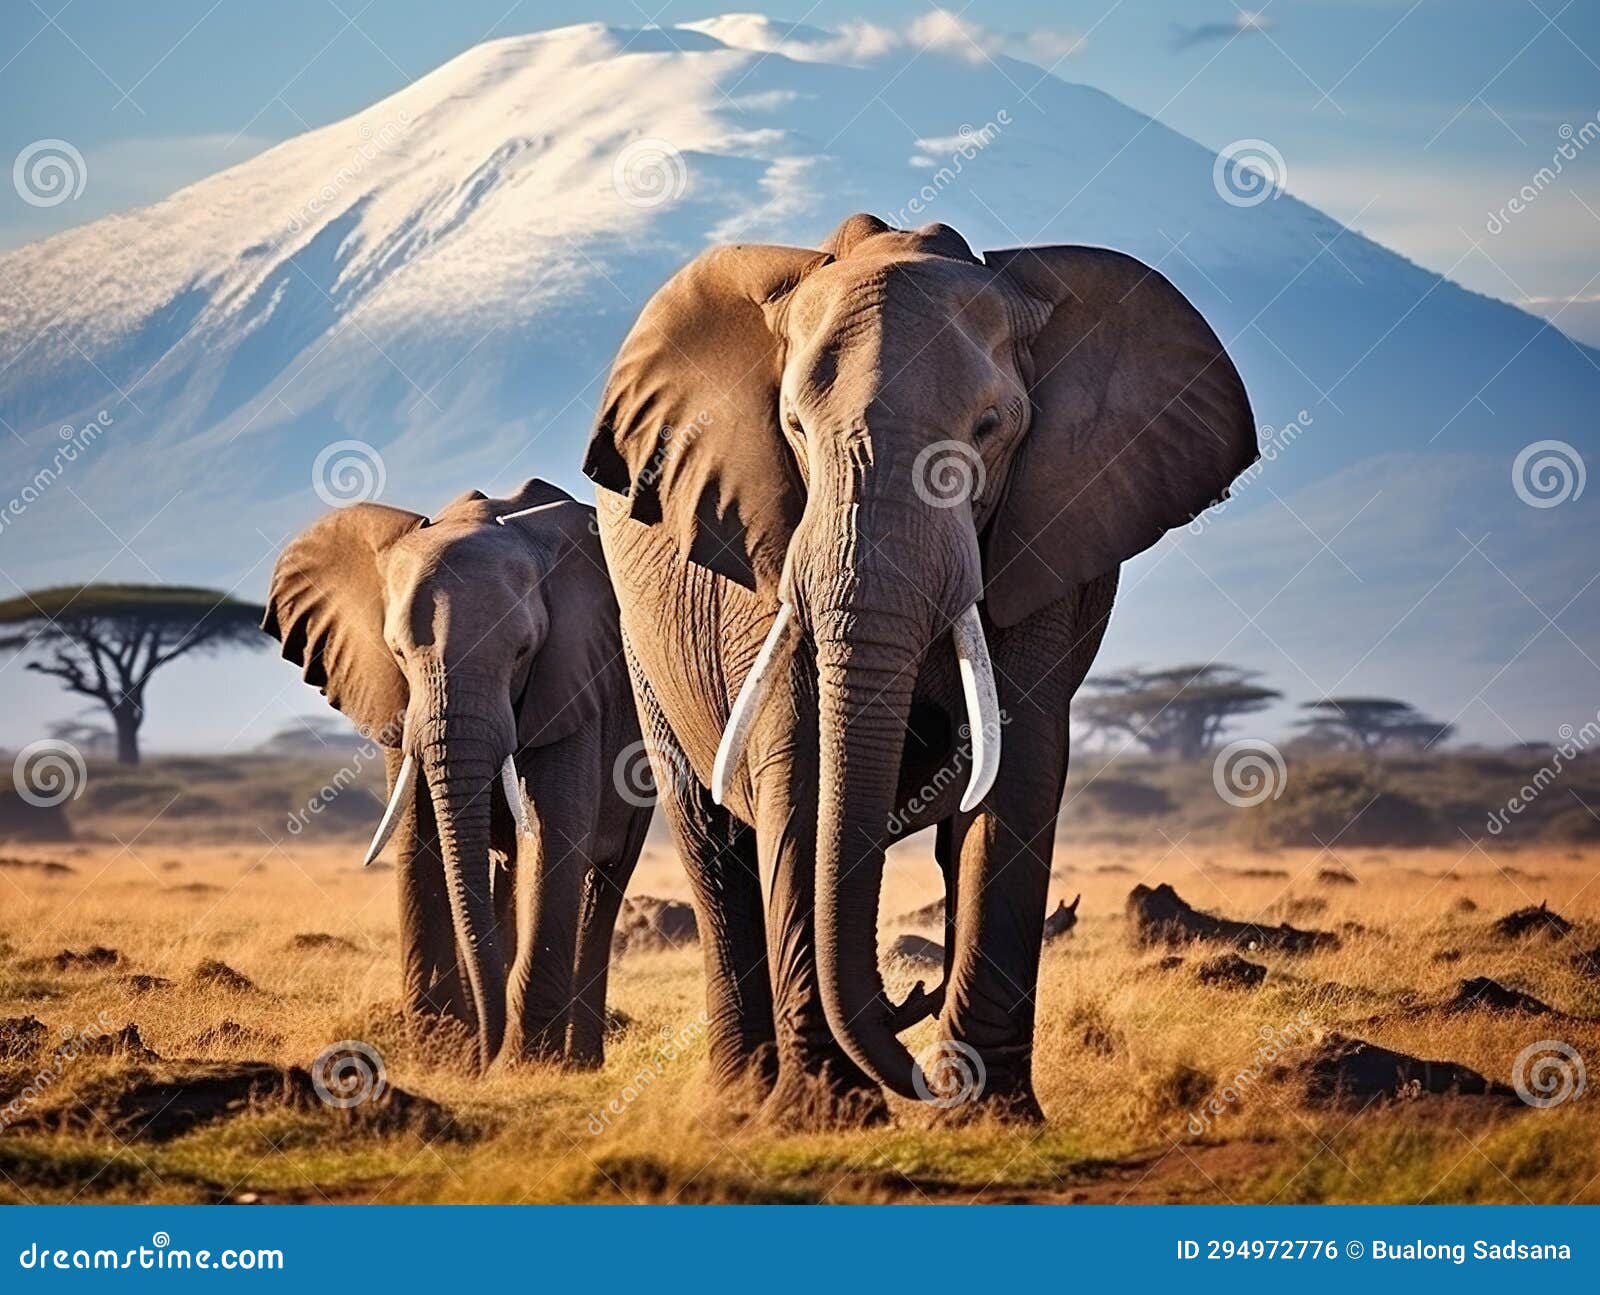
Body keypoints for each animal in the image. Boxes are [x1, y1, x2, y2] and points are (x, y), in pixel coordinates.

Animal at [262, 478, 650, 1072]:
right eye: (397, 652)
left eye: (522, 652)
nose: (487, 1057)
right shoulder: (397, 704)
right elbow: (419, 833)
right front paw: (441, 1056)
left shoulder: (575, 677)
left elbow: (555, 836)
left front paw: (522, 1068)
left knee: (602, 880)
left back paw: (576, 1063)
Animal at [583, 214, 1256, 1125]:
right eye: (794, 428)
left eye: (991, 428)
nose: (912, 999)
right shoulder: (763, 540)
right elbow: (797, 772)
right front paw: (825, 1116)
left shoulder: (1045, 529)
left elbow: (1019, 770)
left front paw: (990, 1112)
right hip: (644, 646)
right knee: (712, 840)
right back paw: (737, 1102)